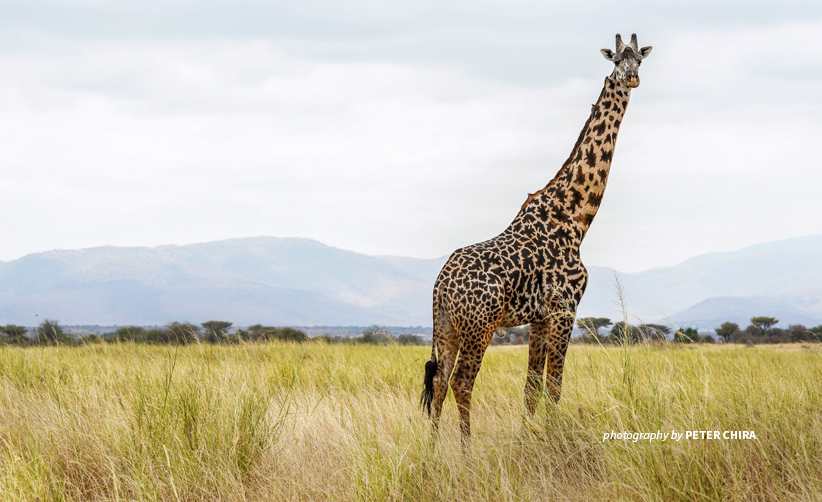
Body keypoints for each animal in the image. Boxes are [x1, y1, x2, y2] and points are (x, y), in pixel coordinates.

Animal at [421, 34, 652, 440]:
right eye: (617, 60)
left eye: (640, 58)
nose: (632, 78)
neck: (575, 217)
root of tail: (441, 286)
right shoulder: (565, 307)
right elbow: (555, 385)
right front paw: (553, 440)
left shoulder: (540, 318)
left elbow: (532, 388)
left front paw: (530, 440)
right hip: (480, 325)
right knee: (463, 381)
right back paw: (466, 450)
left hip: (447, 326)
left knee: (439, 381)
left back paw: (431, 449)